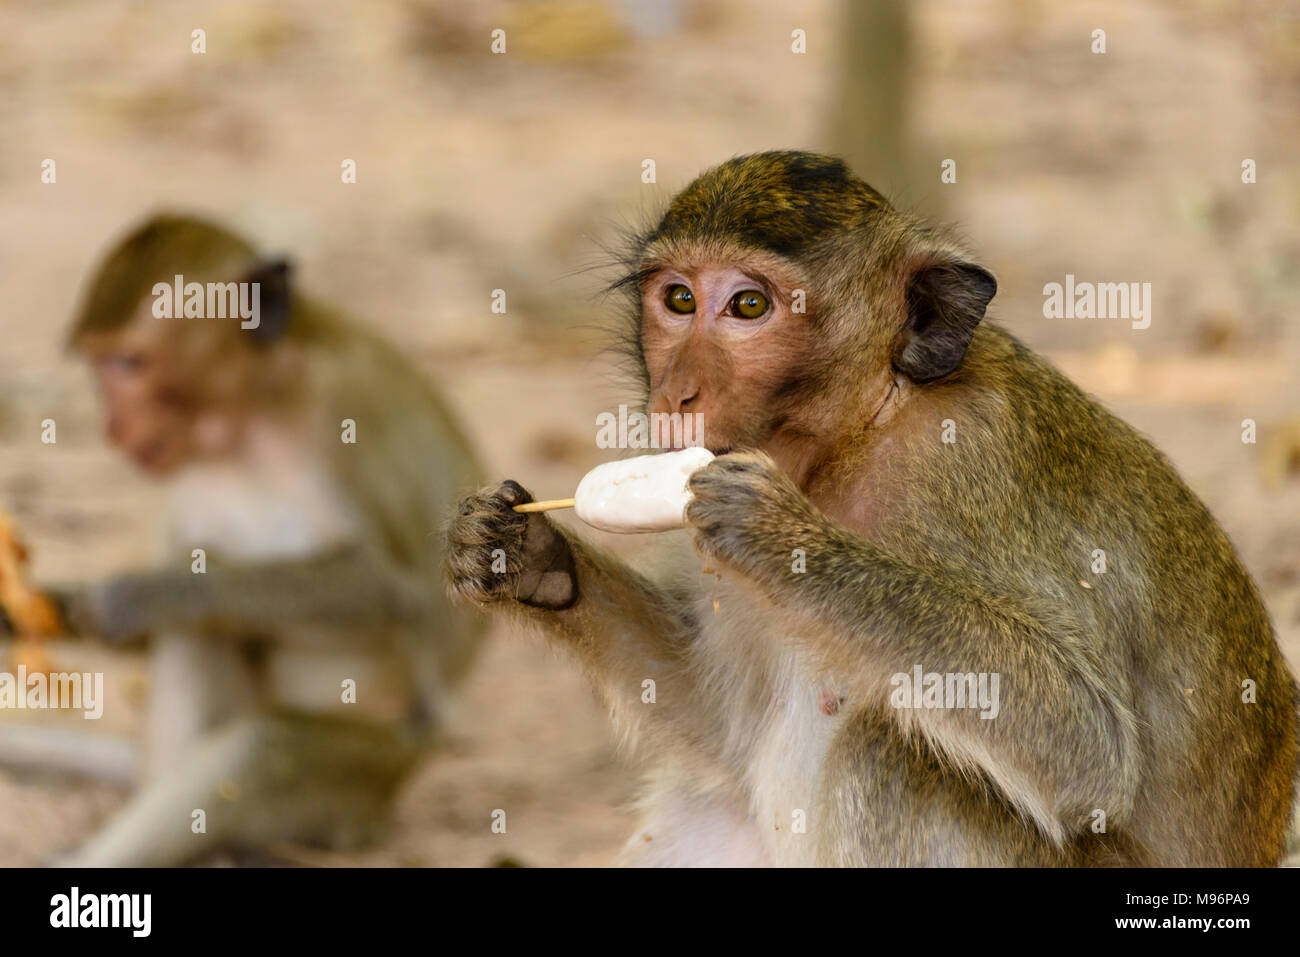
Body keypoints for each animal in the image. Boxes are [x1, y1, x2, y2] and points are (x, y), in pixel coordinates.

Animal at [3, 213, 485, 866]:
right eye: (98, 364)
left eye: (129, 363)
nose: (111, 425)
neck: (250, 415)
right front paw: (55, 608)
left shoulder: (347, 411)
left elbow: (395, 592)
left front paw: (133, 596)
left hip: (366, 775)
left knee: (266, 747)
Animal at [446, 151, 1300, 867]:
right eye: (679, 299)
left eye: (747, 305)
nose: (676, 394)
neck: (863, 430)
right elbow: (719, 728)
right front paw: (525, 553)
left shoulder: (965, 463)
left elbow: (1090, 747)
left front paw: (779, 535)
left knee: (890, 758)